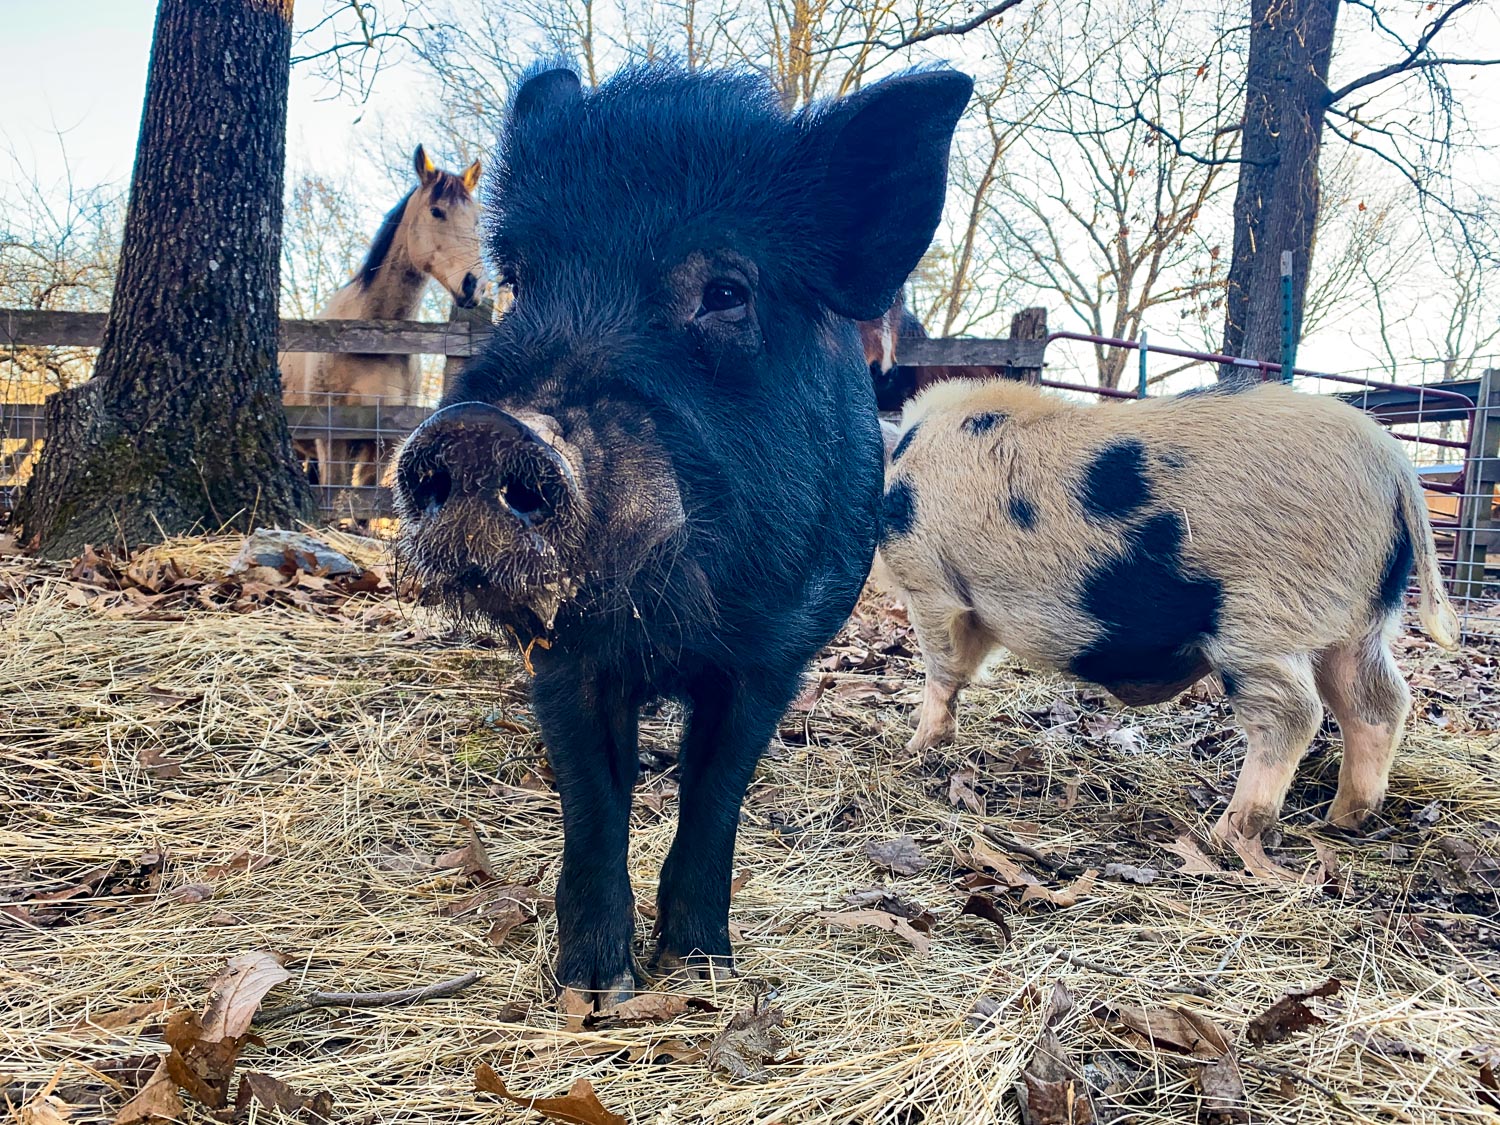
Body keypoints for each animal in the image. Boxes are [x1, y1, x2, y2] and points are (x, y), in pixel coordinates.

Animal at [393, 62, 973, 1001]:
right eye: (519, 282)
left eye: (727, 292)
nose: (484, 431)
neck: (668, 619)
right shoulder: (561, 654)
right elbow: (594, 799)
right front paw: (594, 990)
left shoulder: (777, 650)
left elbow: (715, 793)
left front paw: (701, 969)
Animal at [876, 378, 1461, 854]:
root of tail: (1393, 463)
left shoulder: (931, 584)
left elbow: (943, 670)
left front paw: (915, 745)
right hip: (1359, 621)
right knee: (1379, 703)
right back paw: (1343, 820)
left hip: (1263, 616)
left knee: (1293, 715)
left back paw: (1222, 835)